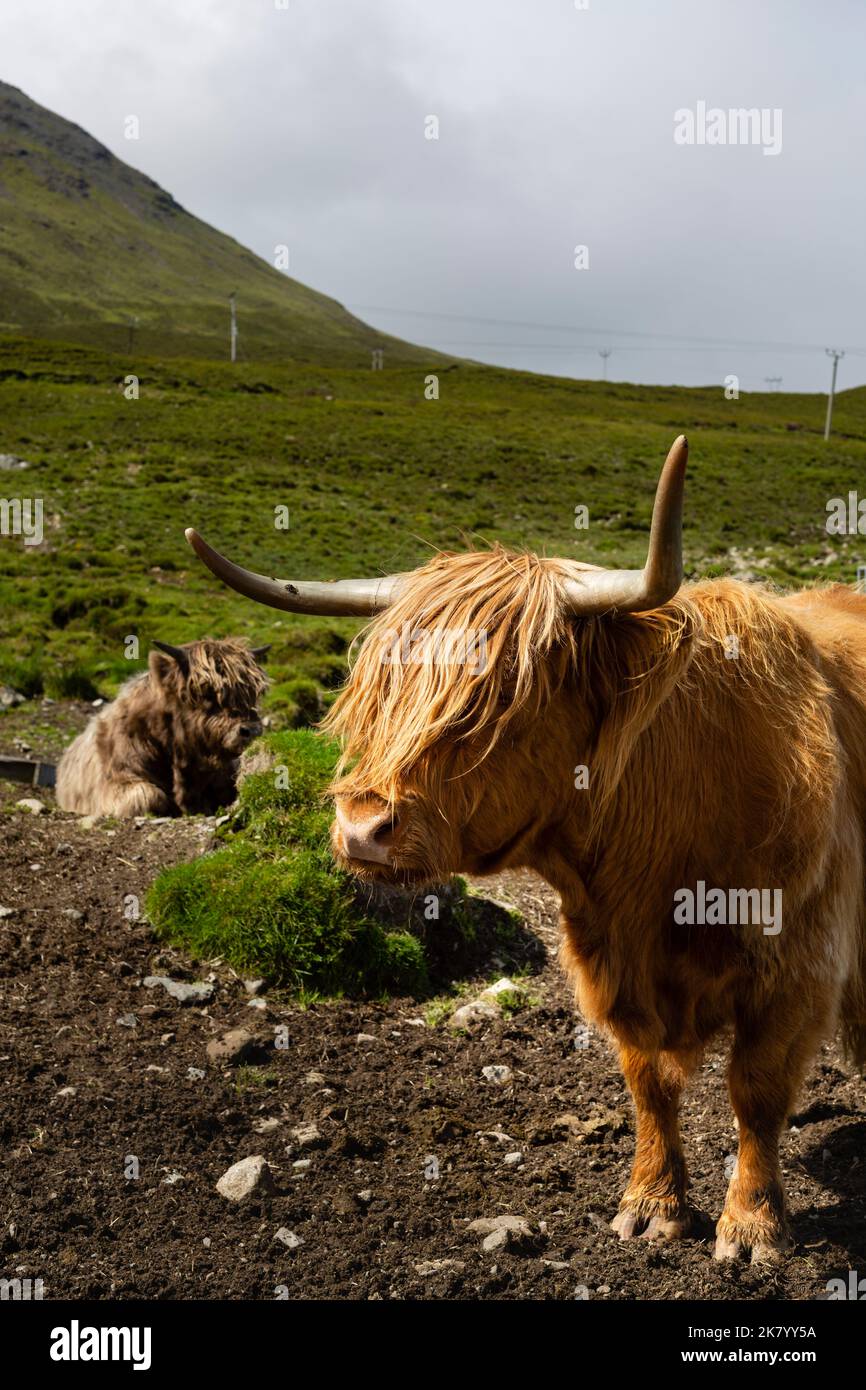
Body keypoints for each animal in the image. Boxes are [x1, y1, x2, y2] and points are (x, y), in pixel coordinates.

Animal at [184, 436, 866, 1263]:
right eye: (379, 690)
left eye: (499, 698)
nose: (361, 829)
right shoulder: (608, 966)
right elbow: (649, 1083)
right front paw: (652, 1204)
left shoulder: (797, 964)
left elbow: (756, 1093)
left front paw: (754, 1225)